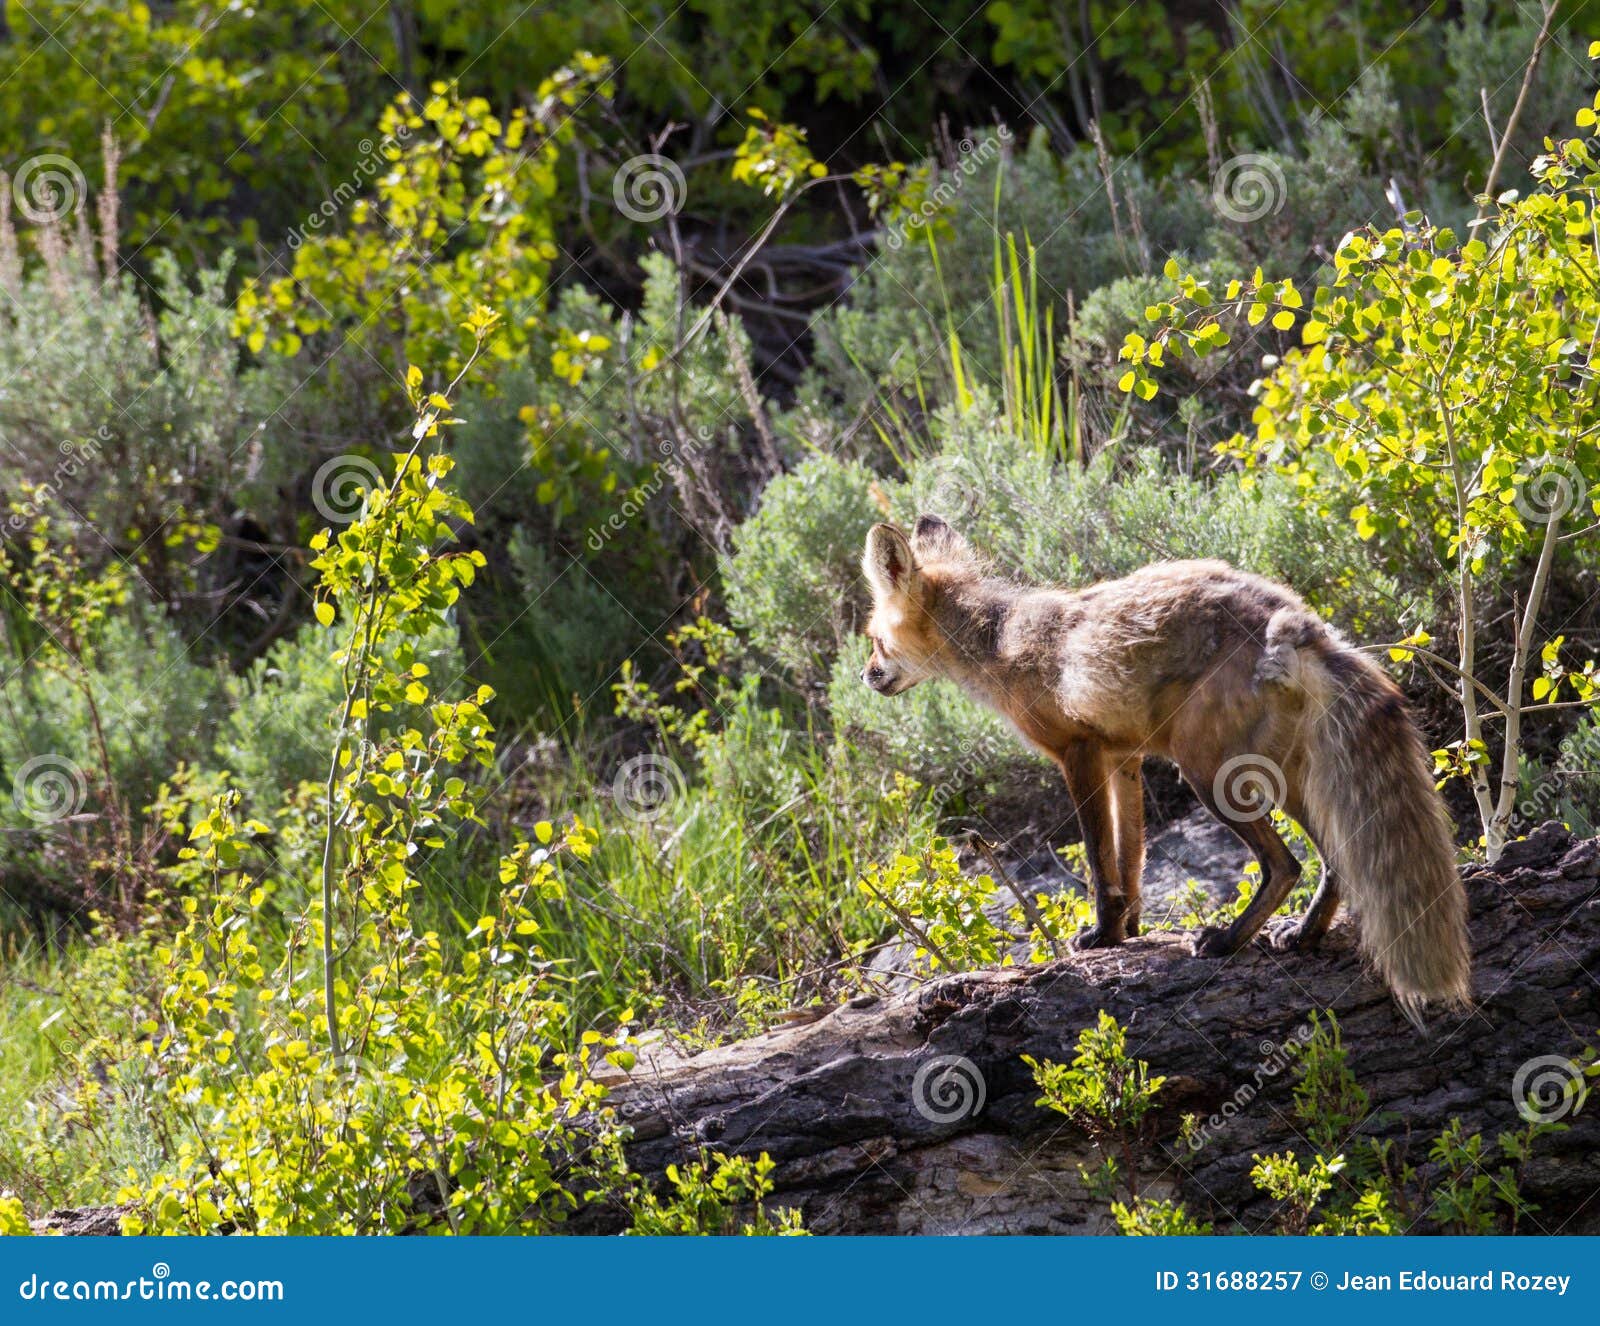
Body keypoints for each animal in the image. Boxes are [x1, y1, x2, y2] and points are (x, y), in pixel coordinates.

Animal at [859, 514, 1472, 1026]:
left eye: (874, 639)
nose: (865, 677)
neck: (1002, 642)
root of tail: (1291, 619)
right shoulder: (1124, 759)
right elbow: (1130, 862)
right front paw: (1130, 933)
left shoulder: (1078, 754)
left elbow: (1099, 861)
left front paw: (1102, 934)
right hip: (1289, 780)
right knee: (1334, 863)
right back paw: (1303, 934)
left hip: (1210, 777)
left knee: (1286, 866)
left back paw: (1227, 941)